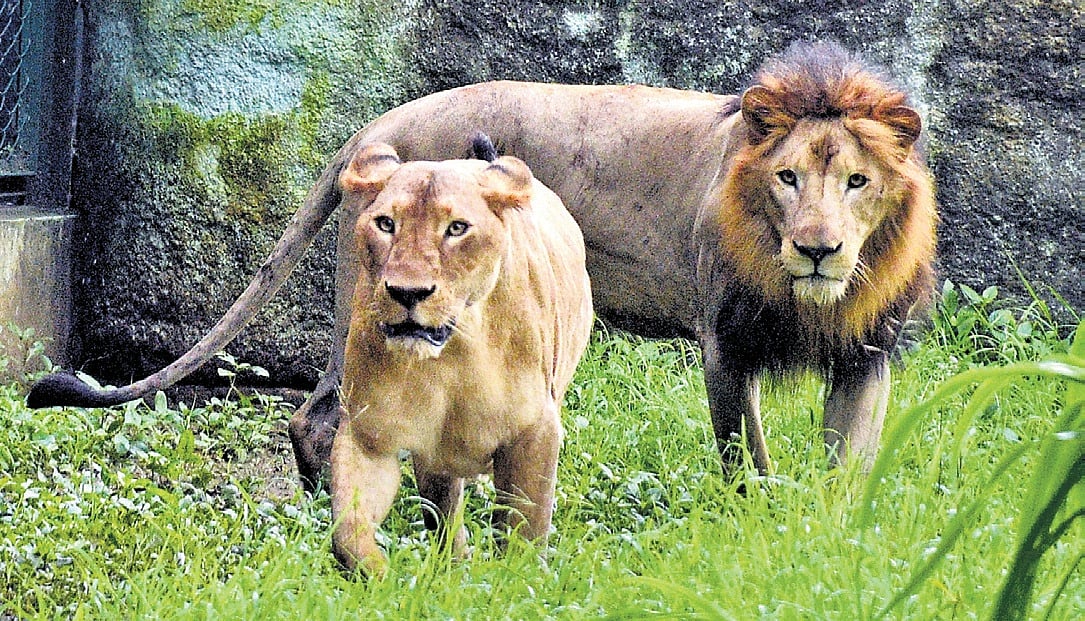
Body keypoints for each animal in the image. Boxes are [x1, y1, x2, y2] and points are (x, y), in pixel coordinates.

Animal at [28, 41, 936, 490]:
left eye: (855, 181)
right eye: (787, 178)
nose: (817, 247)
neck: (809, 294)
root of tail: (373, 127)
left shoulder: (865, 354)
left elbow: (849, 462)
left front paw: (829, 536)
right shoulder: (724, 341)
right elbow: (743, 455)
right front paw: (754, 521)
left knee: (319, 415)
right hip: (384, 307)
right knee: (317, 417)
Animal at [328, 142, 592, 573]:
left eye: (456, 228)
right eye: (386, 224)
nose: (408, 293)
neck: (452, 359)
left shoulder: (535, 431)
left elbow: (524, 534)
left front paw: (515, 580)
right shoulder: (369, 436)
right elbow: (348, 534)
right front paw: (386, 578)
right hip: (436, 461)